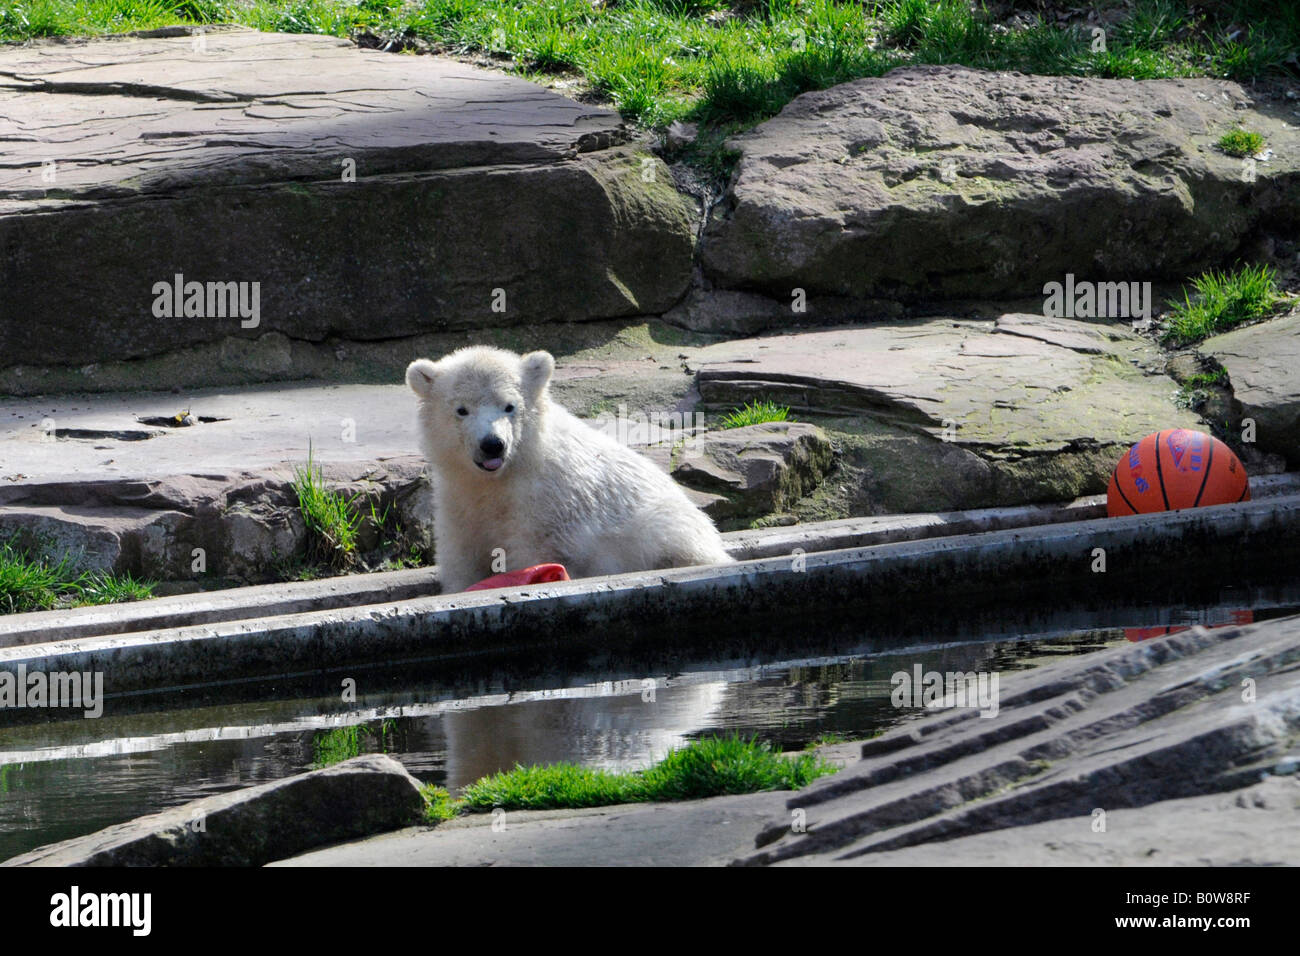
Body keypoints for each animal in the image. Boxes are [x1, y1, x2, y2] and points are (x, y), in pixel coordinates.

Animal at [405, 346, 734, 593]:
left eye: (509, 406)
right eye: (461, 410)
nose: (493, 445)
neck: (504, 474)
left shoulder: (543, 502)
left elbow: (532, 551)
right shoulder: (458, 494)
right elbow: (462, 551)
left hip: (660, 529)